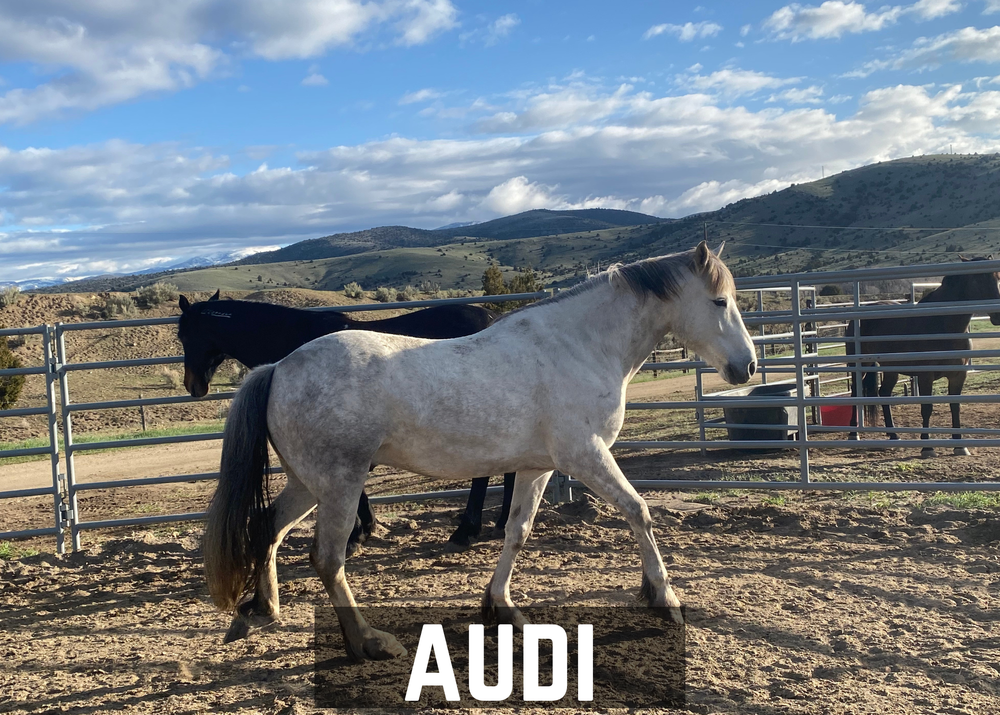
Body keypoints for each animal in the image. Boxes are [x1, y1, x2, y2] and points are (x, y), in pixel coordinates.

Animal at [176, 292, 516, 551]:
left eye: (182, 335)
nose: (193, 385)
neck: (290, 338)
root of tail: (492, 319)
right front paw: (366, 528)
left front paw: (355, 534)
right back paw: (500, 523)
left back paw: (466, 531)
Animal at [846, 257, 1000, 457]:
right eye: (979, 278)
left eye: (997, 277)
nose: (998, 315)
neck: (942, 325)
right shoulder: (926, 376)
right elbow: (927, 408)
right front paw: (927, 447)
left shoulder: (958, 375)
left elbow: (955, 406)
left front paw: (959, 445)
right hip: (859, 365)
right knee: (855, 392)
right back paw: (853, 434)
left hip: (890, 368)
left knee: (884, 393)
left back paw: (894, 435)